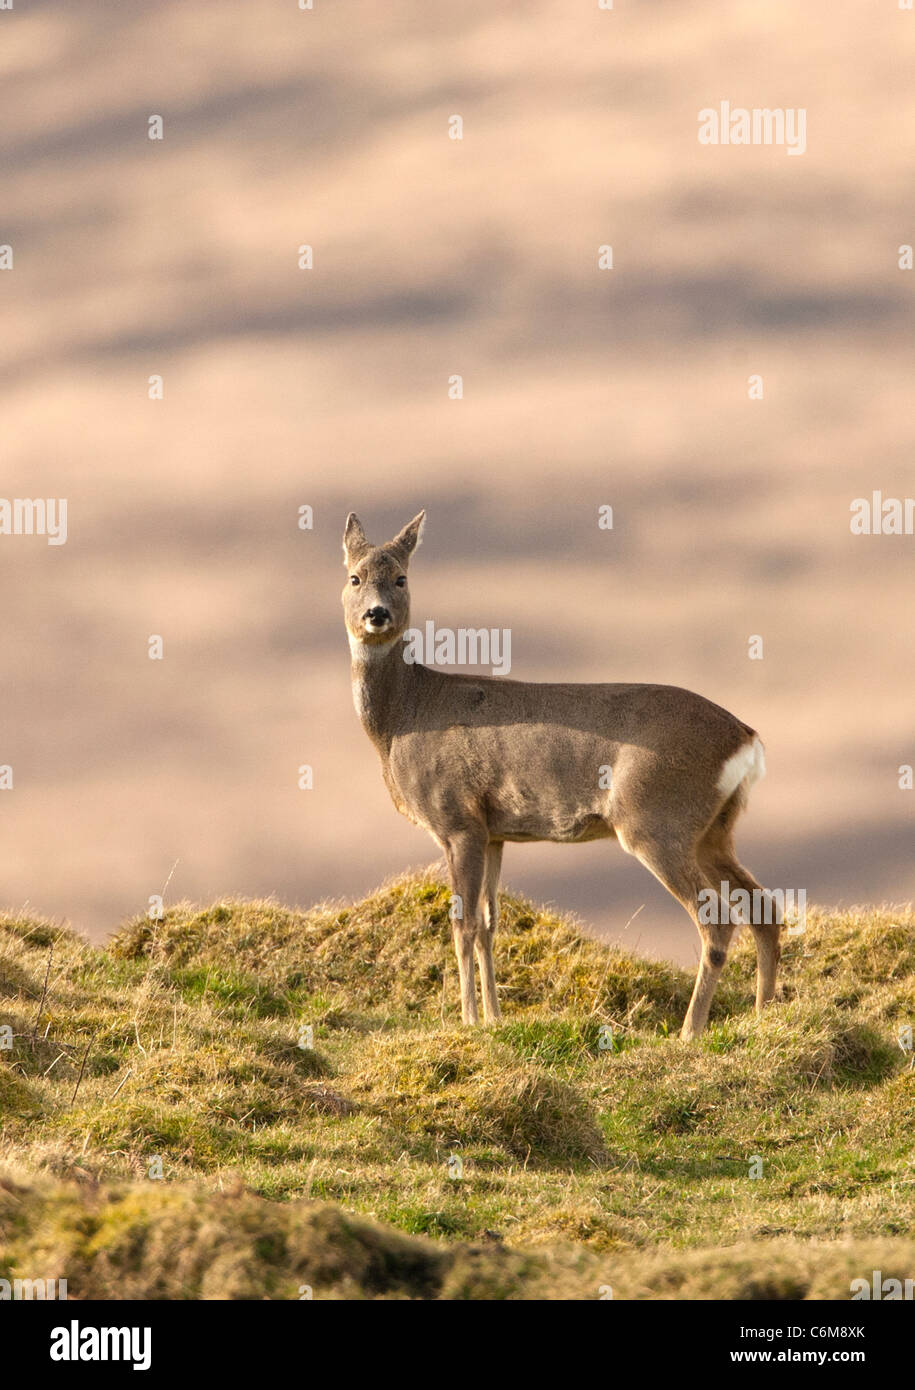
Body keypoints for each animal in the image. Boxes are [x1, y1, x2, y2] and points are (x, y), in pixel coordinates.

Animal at [341, 510, 782, 1039]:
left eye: (402, 577)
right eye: (355, 577)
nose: (376, 615)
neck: (402, 718)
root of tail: (745, 737)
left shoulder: (457, 821)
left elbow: (463, 926)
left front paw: (468, 1021)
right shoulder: (494, 832)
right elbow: (488, 924)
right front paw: (495, 1018)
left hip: (657, 822)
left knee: (716, 918)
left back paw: (690, 1032)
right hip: (713, 830)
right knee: (764, 908)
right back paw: (762, 1014)